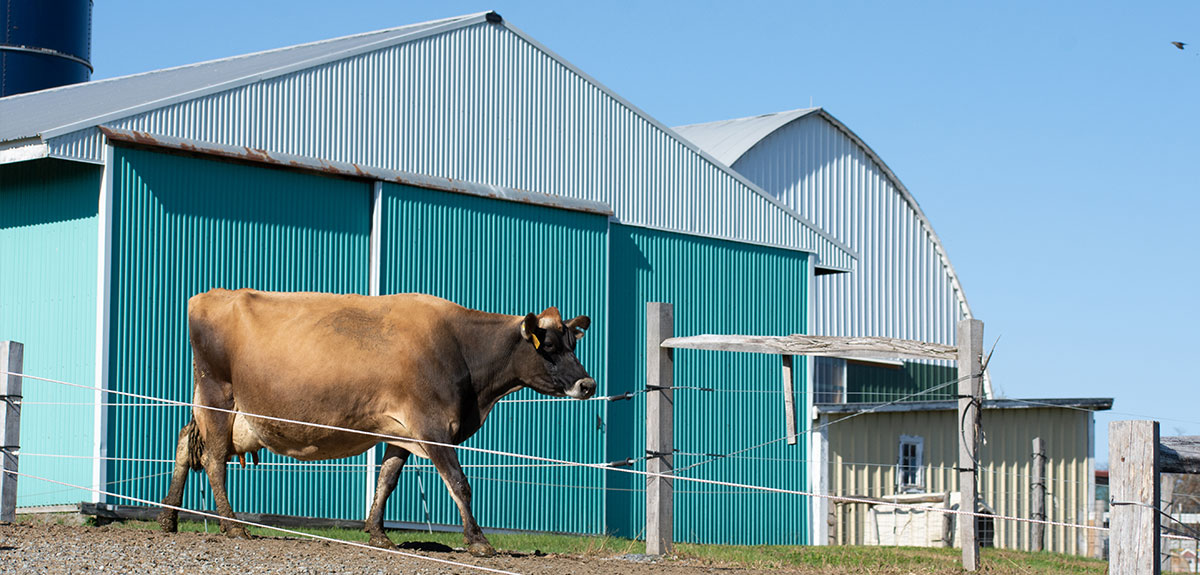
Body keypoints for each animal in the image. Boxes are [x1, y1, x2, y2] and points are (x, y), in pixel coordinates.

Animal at [156, 288, 595, 557]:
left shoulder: (401, 431)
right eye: (549, 346)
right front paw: (478, 540)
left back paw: (168, 518)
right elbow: (459, 483)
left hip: (209, 403)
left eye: (574, 343)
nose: (588, 384)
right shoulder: (433, 425)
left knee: (184, 441)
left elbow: (386, 481)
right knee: (214, 460)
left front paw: (378, 533)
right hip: (219, 396)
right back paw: (232, 526)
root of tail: (208, 296)